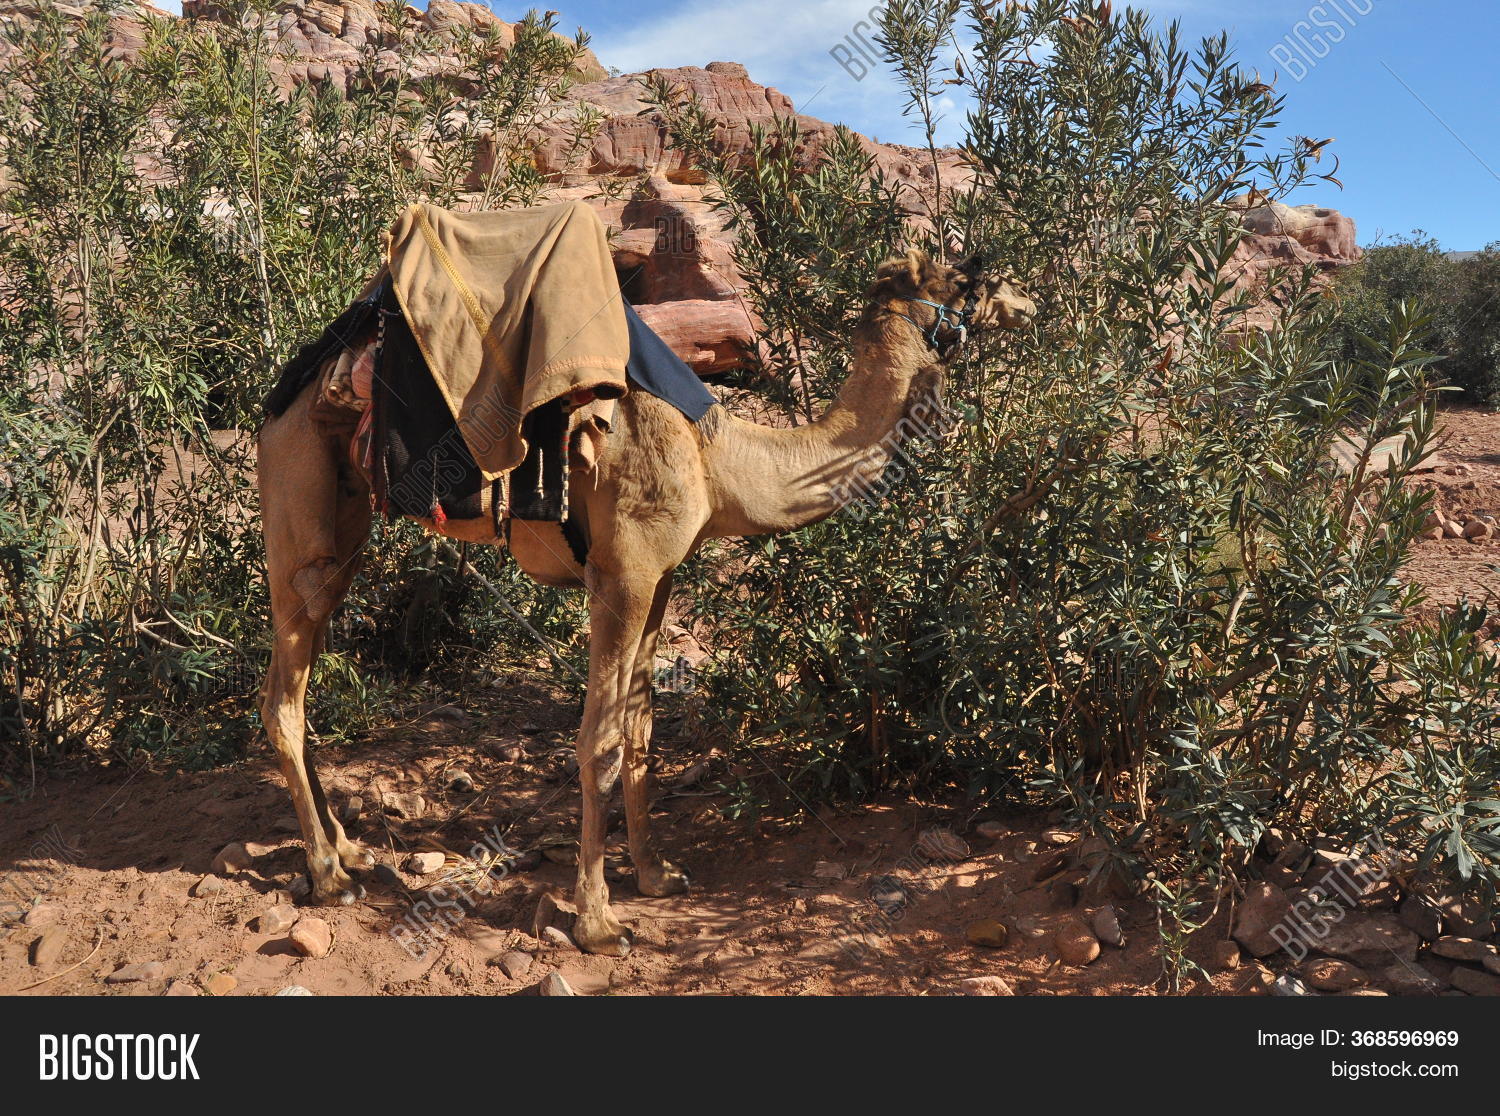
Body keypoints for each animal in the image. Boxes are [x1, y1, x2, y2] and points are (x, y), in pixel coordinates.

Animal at [256, 248, 1035, 955]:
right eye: (966, 278)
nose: (1025, 301)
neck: (715, 461)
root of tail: (289, 389)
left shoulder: (660, 578)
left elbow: (641, 727)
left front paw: (658, 875)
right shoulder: (622, 576)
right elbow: (596, 738)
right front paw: (598, 922)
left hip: (349, 519)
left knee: (302, 674)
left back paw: (351, 850)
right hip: (300, 500)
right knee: (282, 695)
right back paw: (328, 875)